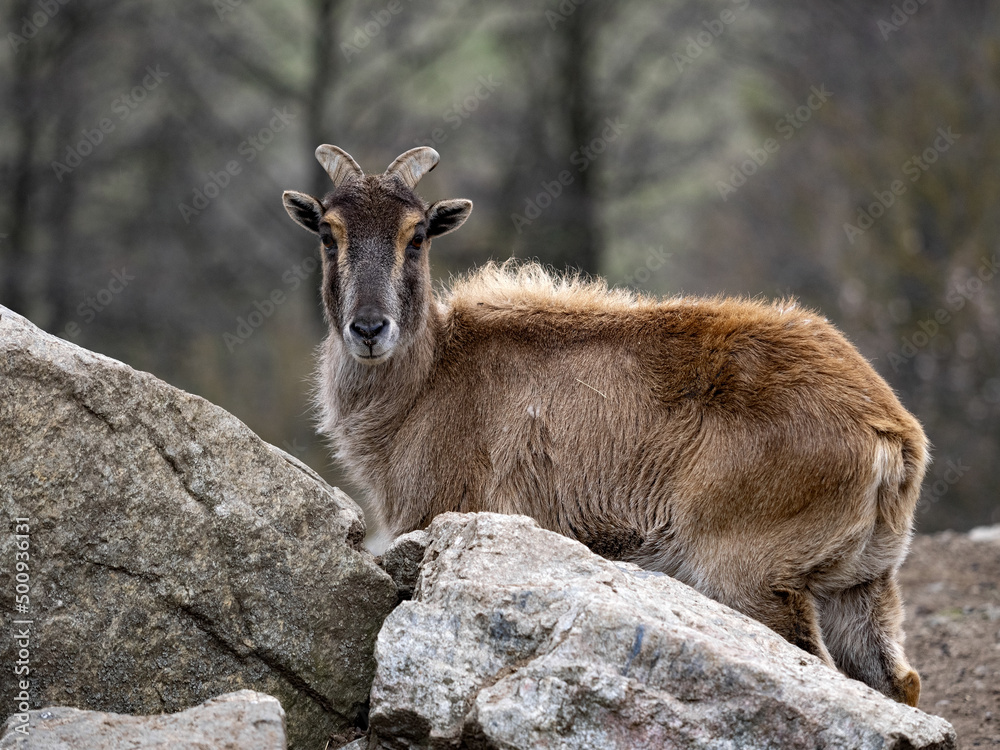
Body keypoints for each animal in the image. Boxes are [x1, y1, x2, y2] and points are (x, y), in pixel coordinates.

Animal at [282, 145, 928, 707]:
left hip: (752, 579)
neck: (429, 382)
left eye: (416, 234)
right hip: (860, 584)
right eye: (328, 233)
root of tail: (890, 433)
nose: (370, 329)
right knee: (900, 683)